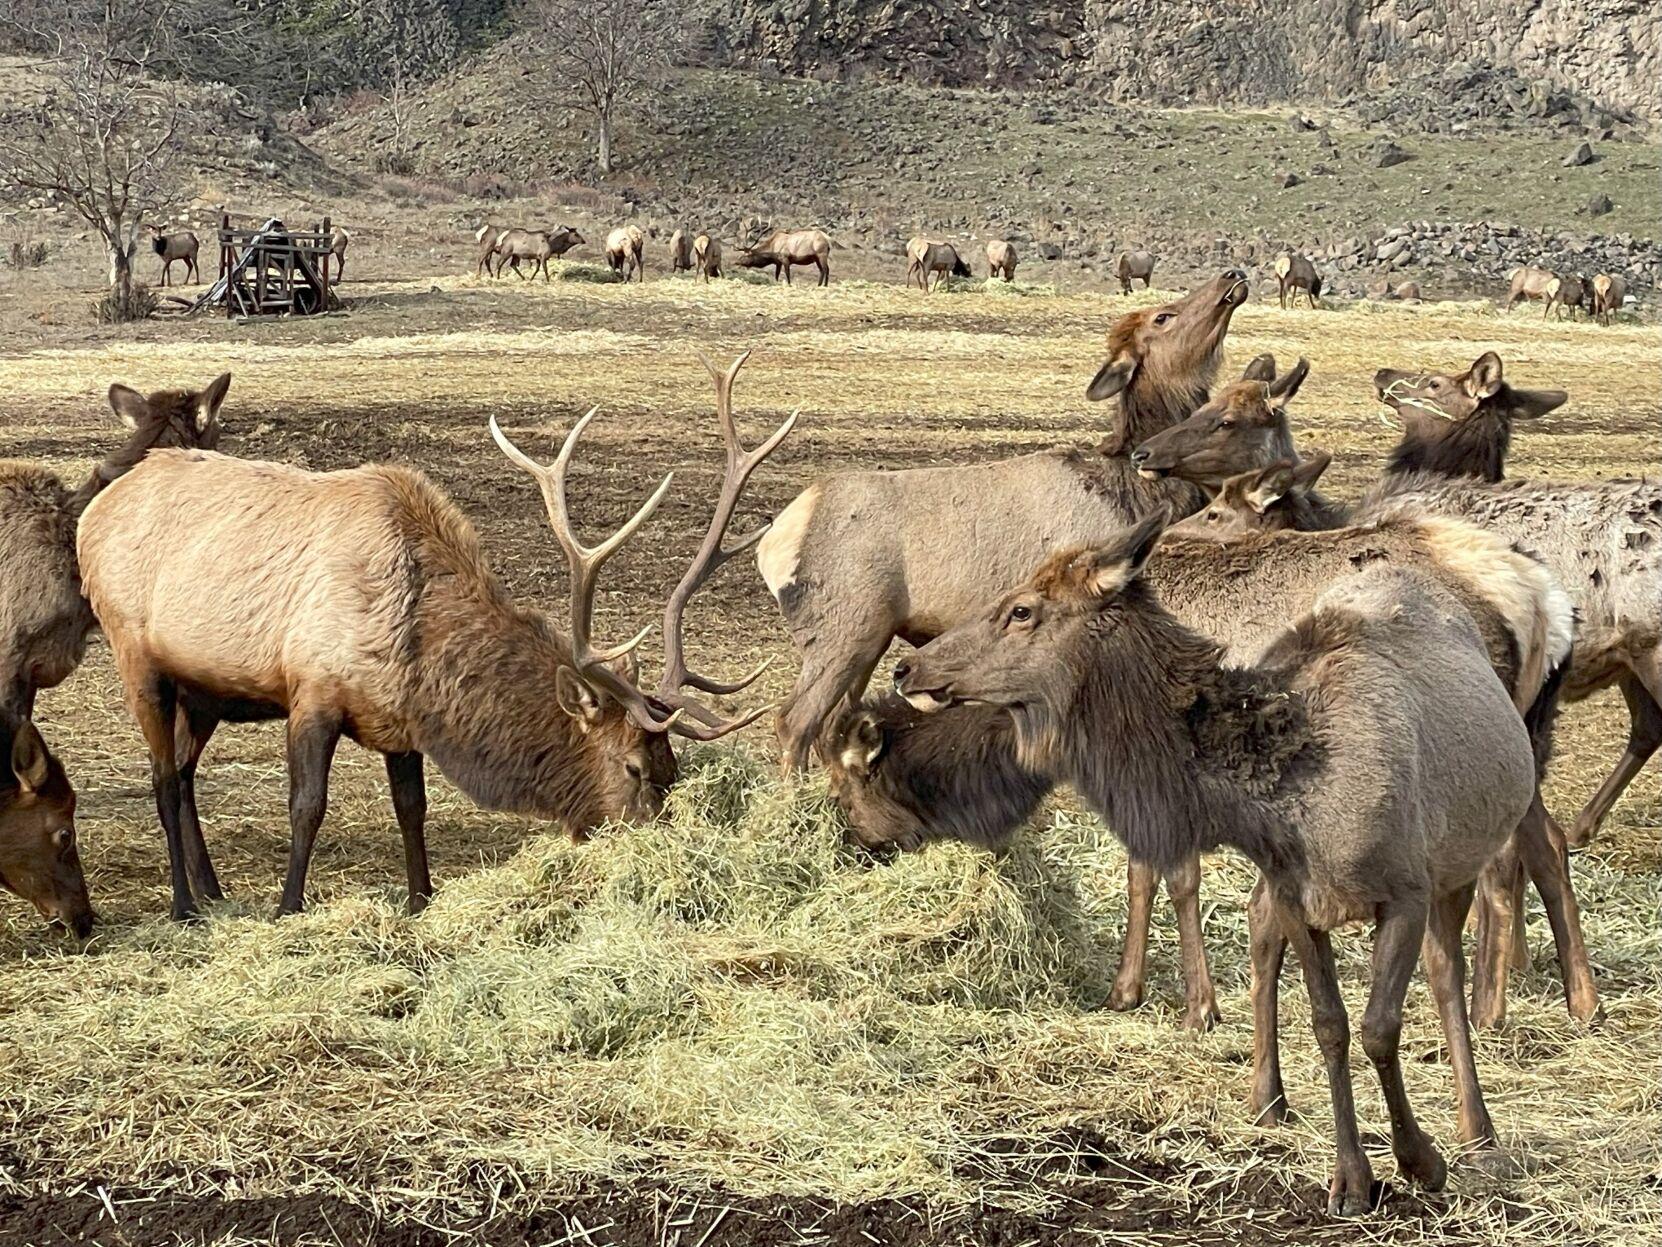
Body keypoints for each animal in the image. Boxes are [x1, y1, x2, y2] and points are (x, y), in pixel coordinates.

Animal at [77, 356, 790, 923]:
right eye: (635, 767)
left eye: (675, 770)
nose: (653, 848)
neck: (416, 648)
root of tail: (94, 513)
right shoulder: (312, 690)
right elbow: (307, 805)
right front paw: (288, 906)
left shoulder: (398, 721)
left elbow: (411, 809)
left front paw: (421, 898)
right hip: (135, 653)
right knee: (162, 778)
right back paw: (183, 903)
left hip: (204, 689)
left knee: (185, 771)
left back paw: (213, 889)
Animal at [756, 270, 1251, 775]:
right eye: (1163, 316)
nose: (1231, 275)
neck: (1130, 491)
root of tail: (772, 543)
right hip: (845, 627)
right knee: (794, 720)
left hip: (868, 638)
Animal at [894, 509, 1555, 1215]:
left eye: (1021, 610)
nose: (907, 666)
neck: (1290, 802)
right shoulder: (1296, 893)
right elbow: (1329, 1023)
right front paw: (1351, 1179)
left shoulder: (1405, 888)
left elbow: (1380, 1027)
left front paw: (1418, 1160)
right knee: (1275, 934)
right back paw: (1269, 1098)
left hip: (1460, 856)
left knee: (1447, 969)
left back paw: (1477, 1128)